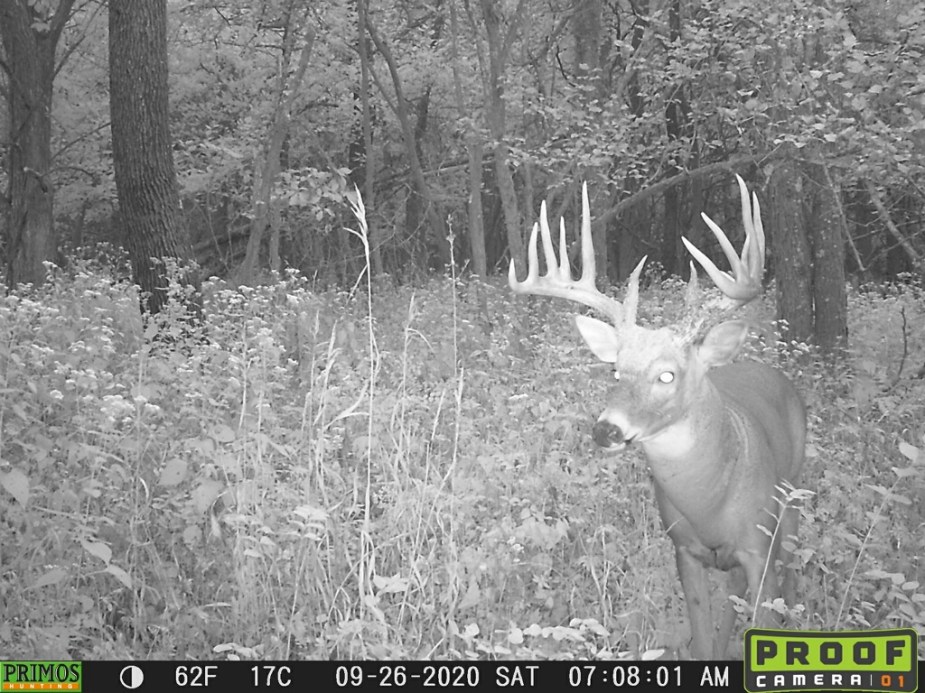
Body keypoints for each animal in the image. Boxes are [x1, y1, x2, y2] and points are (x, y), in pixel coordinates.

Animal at [509, 175, 806, 659]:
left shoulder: (759, 547)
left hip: (794, 490)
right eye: (615, 368)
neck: (711, 505)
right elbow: (703, 637)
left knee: (793, 568)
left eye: (668, 374)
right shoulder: (683, 549)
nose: (606, 429)